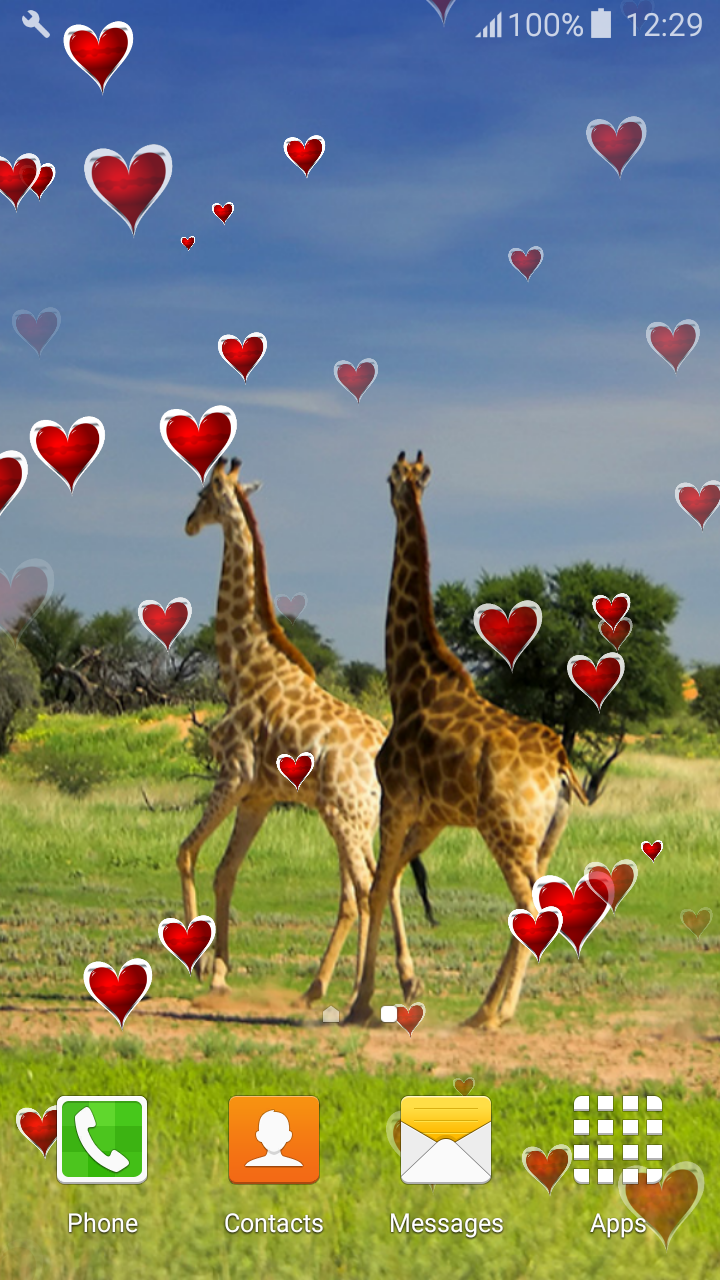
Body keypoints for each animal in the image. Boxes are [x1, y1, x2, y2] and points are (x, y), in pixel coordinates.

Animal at [177, 458, 422, 1002]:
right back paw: (387, 981)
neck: (244, 666)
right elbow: (226, 872)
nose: (188, 522)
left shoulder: (233, 775)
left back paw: (342, 989)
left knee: (363, 890)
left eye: (205, 493)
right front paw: (220, 970)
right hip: (364, 817)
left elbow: (187, 853)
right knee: (380, 884)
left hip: (343, 813)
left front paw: (200, 965)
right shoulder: (259, 796)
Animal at [347, 451, 587, 1029]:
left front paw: (361, 1002)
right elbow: (396, 882)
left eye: (389, 479)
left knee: (531, 909)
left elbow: (381, 886)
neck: (409, 681)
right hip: (541, 839)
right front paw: (398, 986)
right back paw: (487, 1009)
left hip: (506, 833)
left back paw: (494, 1014)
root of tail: (561, 765)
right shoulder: (432, 816)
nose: (392, 491)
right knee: (534, 906)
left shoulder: (397, 799)